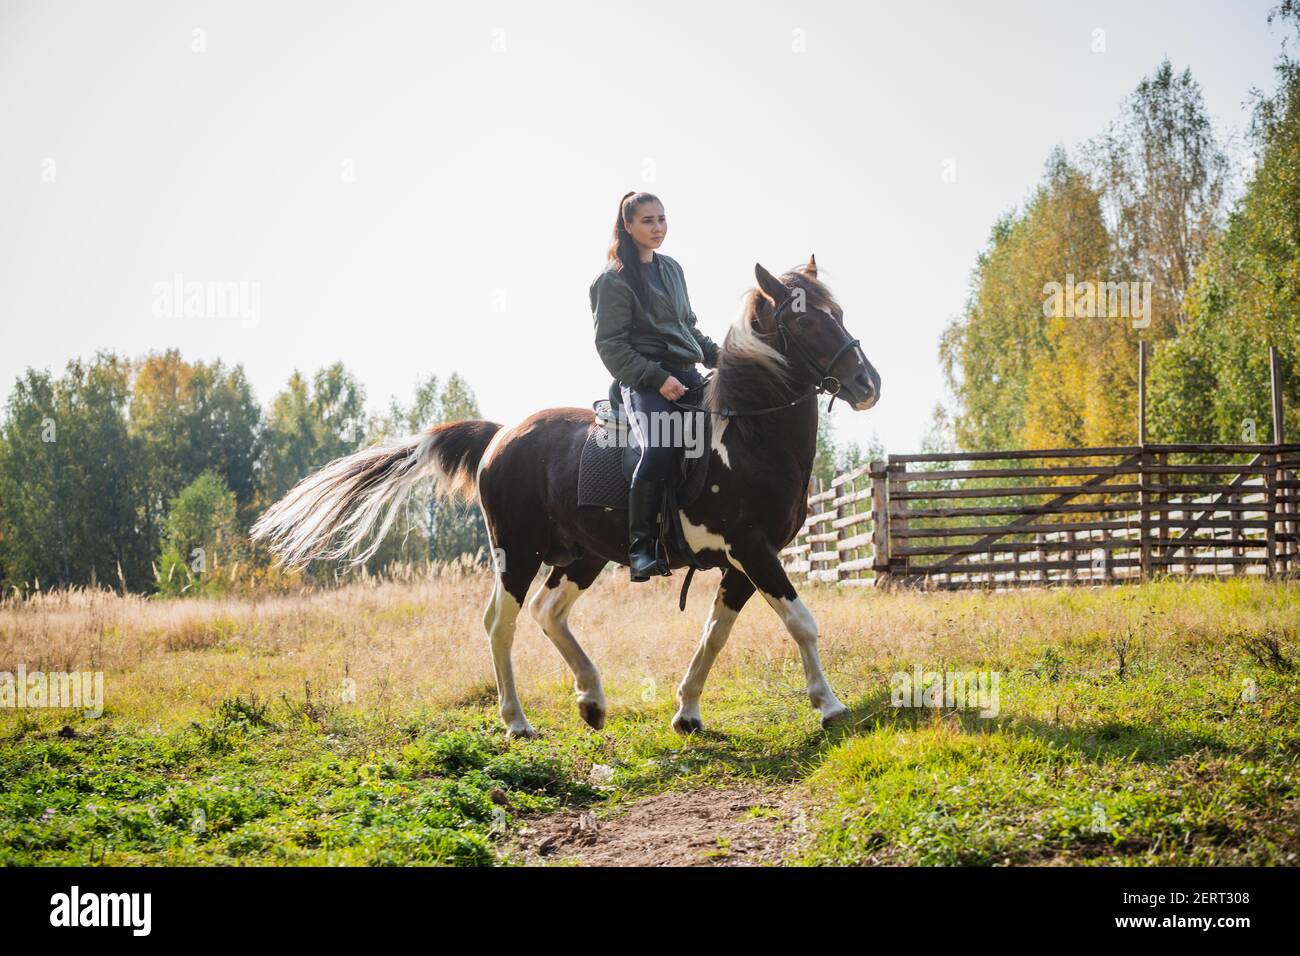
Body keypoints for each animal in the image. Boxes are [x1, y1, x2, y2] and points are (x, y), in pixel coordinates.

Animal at [250, 254, 880, 737]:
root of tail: (500, 435)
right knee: (500, 623)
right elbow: (801, 621)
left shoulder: (740, 562)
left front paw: (687, 712)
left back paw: (592, 700)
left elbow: (714, 635)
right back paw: (517, 721)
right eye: (807, 323)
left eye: (840, 313)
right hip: (518, 551)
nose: (868, 384)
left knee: (547, 612)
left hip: (583, 555)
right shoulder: (752, 549)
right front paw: (830, 707)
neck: (746, 435)